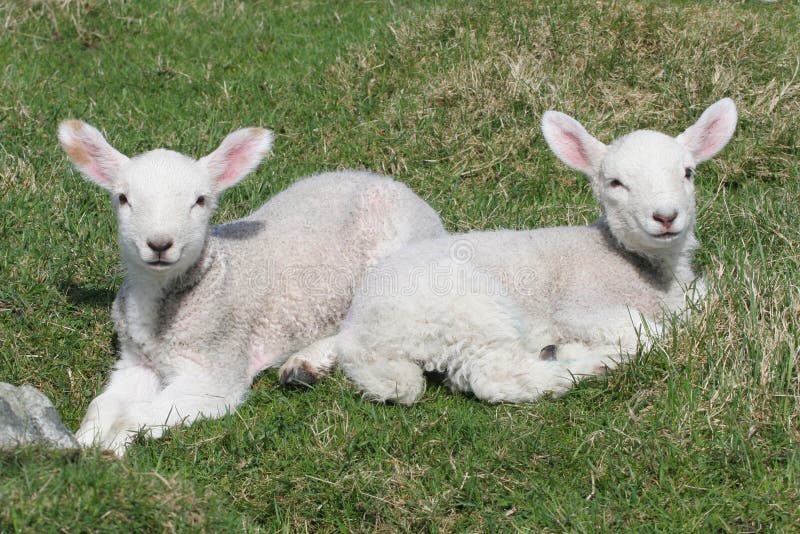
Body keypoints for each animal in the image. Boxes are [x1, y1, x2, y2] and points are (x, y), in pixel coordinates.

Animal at [58, 120, 446, 453]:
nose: (160, 244)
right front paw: (83, 441)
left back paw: (307, 363)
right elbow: (101, 405)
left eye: (200, 200)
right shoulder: (135, 361)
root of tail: (409, 195)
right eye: (122, 198)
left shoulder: (216, 368)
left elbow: (139, 412)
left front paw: (111, 449)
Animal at [279, 98, 737, 404]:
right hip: (468, 312)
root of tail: (369, 333)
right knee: (497, 377)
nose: (665, 216)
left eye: (688, 172)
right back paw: (586, 362)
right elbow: (655, 332)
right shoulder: (582, 306)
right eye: (615, 183)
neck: (643, 270)